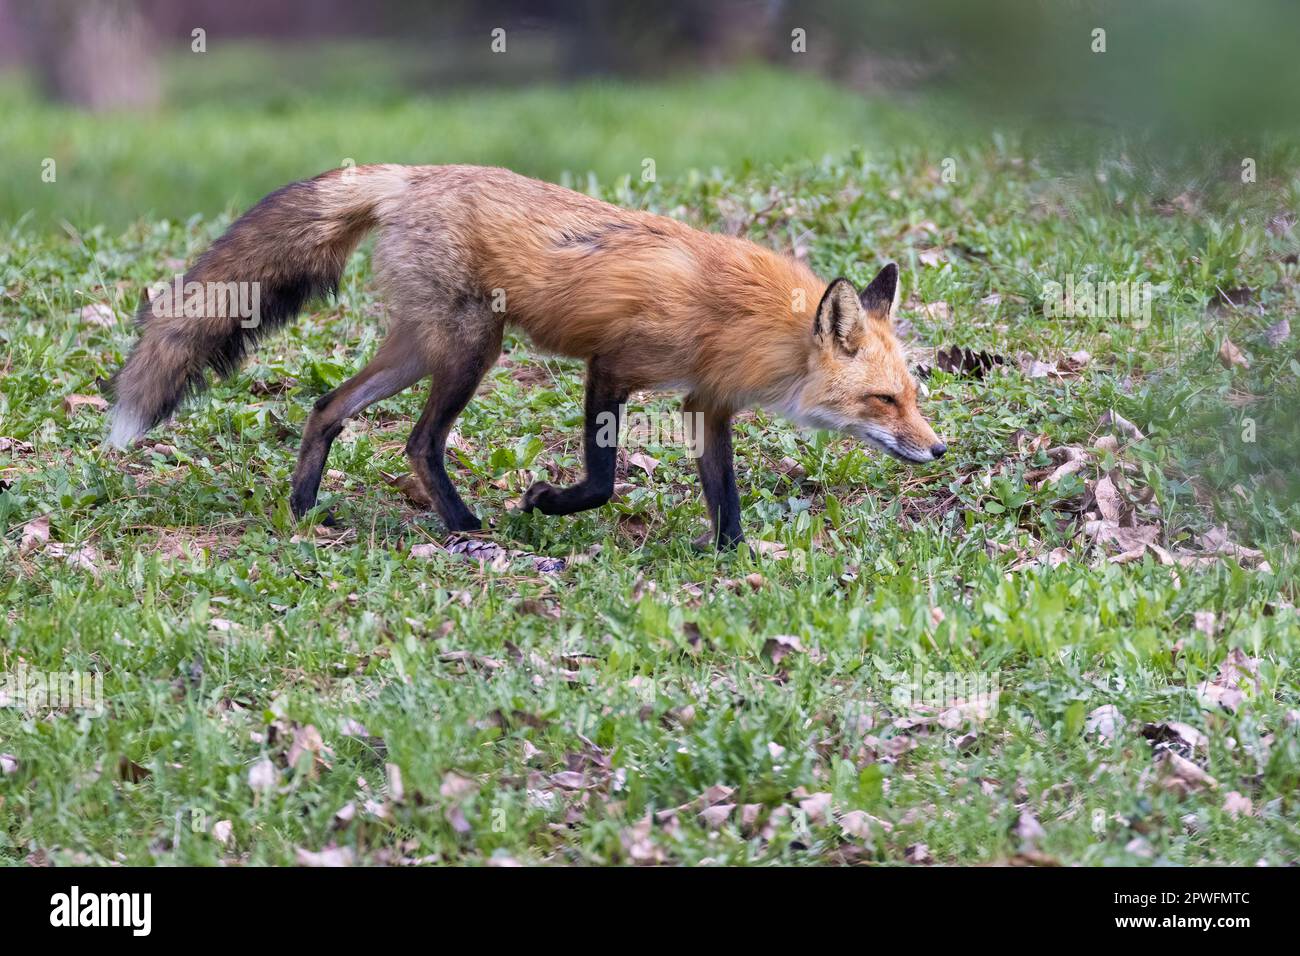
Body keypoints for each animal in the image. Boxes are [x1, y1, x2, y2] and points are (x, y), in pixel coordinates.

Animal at [108, 164, 946, 548]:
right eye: (884, 401)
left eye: (911, 395)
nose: (938, 450)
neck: (740, 316)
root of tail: (406, 176)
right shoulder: (612, 367)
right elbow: (602, 482)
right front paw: (547, 502)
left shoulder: (708, 403)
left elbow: (725, 492)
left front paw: (733, 558)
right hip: (472, 350)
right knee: (419, 441)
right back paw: (463, 523)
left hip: (420, 350)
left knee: (327, 406)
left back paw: (305, 504)